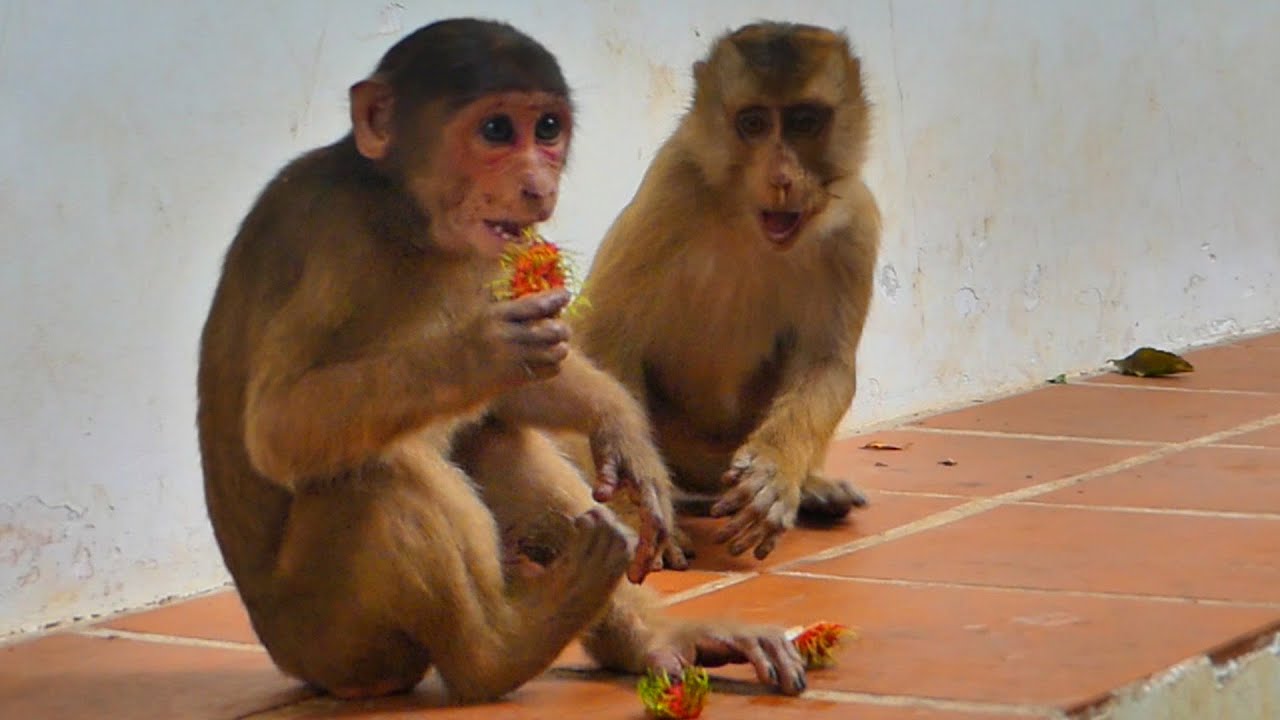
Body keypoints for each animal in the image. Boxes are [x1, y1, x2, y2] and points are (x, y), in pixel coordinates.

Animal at [196, 18, 806, 704]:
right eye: (496, 131)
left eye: (547, 129)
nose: (538, 185)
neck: (404, 220)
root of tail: (295, 660)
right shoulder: (337, 245)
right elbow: (277, 428)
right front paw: (480, 351)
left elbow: (517, 397)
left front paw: (617, 422)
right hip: (336, 644)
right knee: (381, 475)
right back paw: (495, 657)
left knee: (488, 438)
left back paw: (647, 638)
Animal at [572, 22, 881, 562]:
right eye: (753, 123)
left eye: (804, 121)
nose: (781, 179)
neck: (747, 220)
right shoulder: (670, 189)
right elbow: (604, 339)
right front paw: (638, 505)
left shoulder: (856, 224)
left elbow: (826, 363)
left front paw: (776, 469)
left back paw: (810, 487)